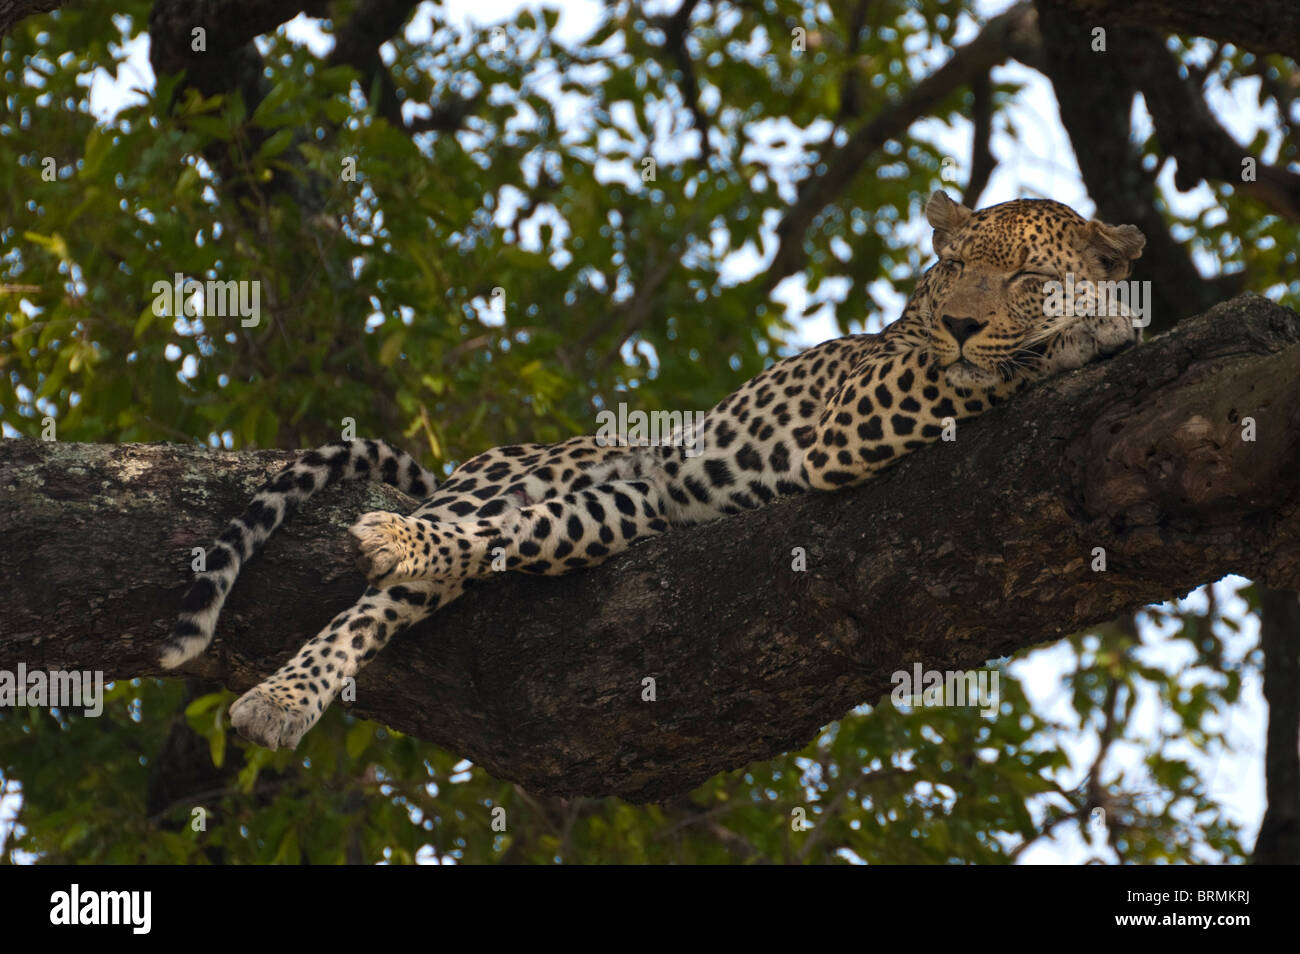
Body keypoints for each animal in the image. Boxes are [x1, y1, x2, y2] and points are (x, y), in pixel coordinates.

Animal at [161, 190, 1146, 751]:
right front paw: (1086, 331)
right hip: (527, 477)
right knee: (393, 585)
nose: (961, 325)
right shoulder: (866, 403)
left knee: (491, 544)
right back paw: (329, 629)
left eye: (1024, 278)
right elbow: (978, 373)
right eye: (955, 266)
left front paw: (1091, 322)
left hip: (622, 510)